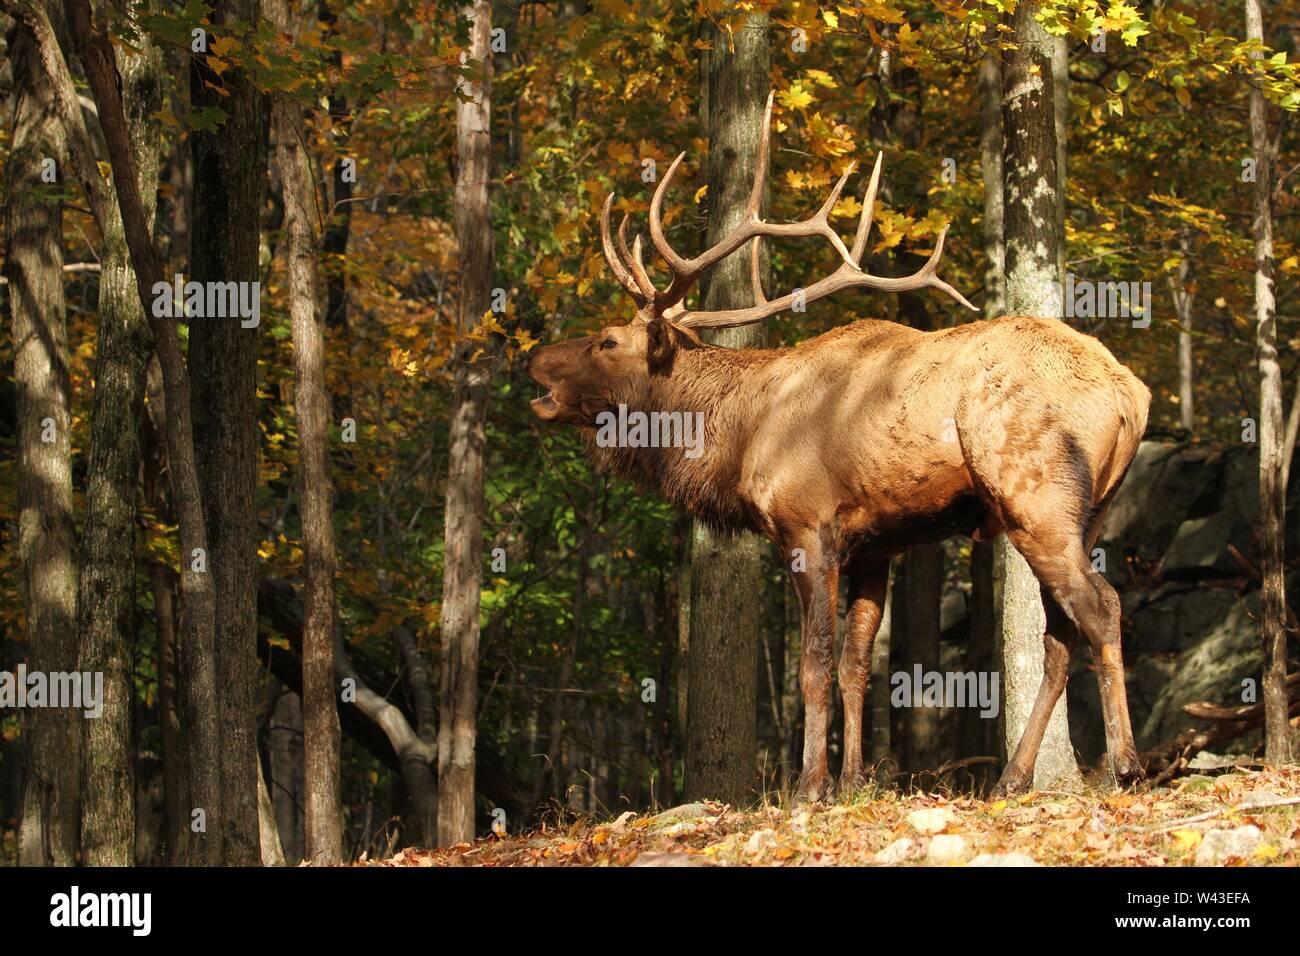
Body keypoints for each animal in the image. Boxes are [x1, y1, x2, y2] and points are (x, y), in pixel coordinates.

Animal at [528, 94, 1150, 804]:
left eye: (606, 340)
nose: (533, 357)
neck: (742, 437)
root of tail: (1131, 394)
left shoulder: (807, 526)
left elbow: (815, 662)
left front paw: (809, 785)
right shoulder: (876, 545)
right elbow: (856, 664)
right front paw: (853, 781)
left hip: (1036, 496)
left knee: (1100, 607)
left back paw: (1125, 764)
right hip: (1088, 509)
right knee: (1059, 633)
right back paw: (1013, 776)